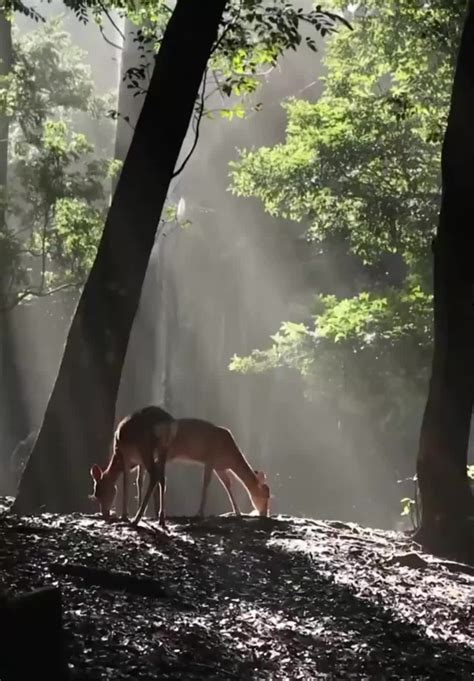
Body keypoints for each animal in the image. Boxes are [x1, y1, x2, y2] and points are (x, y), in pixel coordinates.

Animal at [90, 407, 271, 529]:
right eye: (266, 494)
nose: (265, 514)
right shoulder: (213, 461)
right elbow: (220, 483)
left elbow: (221, 484)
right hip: (157, 451)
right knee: (159, 477)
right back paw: (153, 516)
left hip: (149, 449)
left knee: (157, 476)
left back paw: (143, 518)